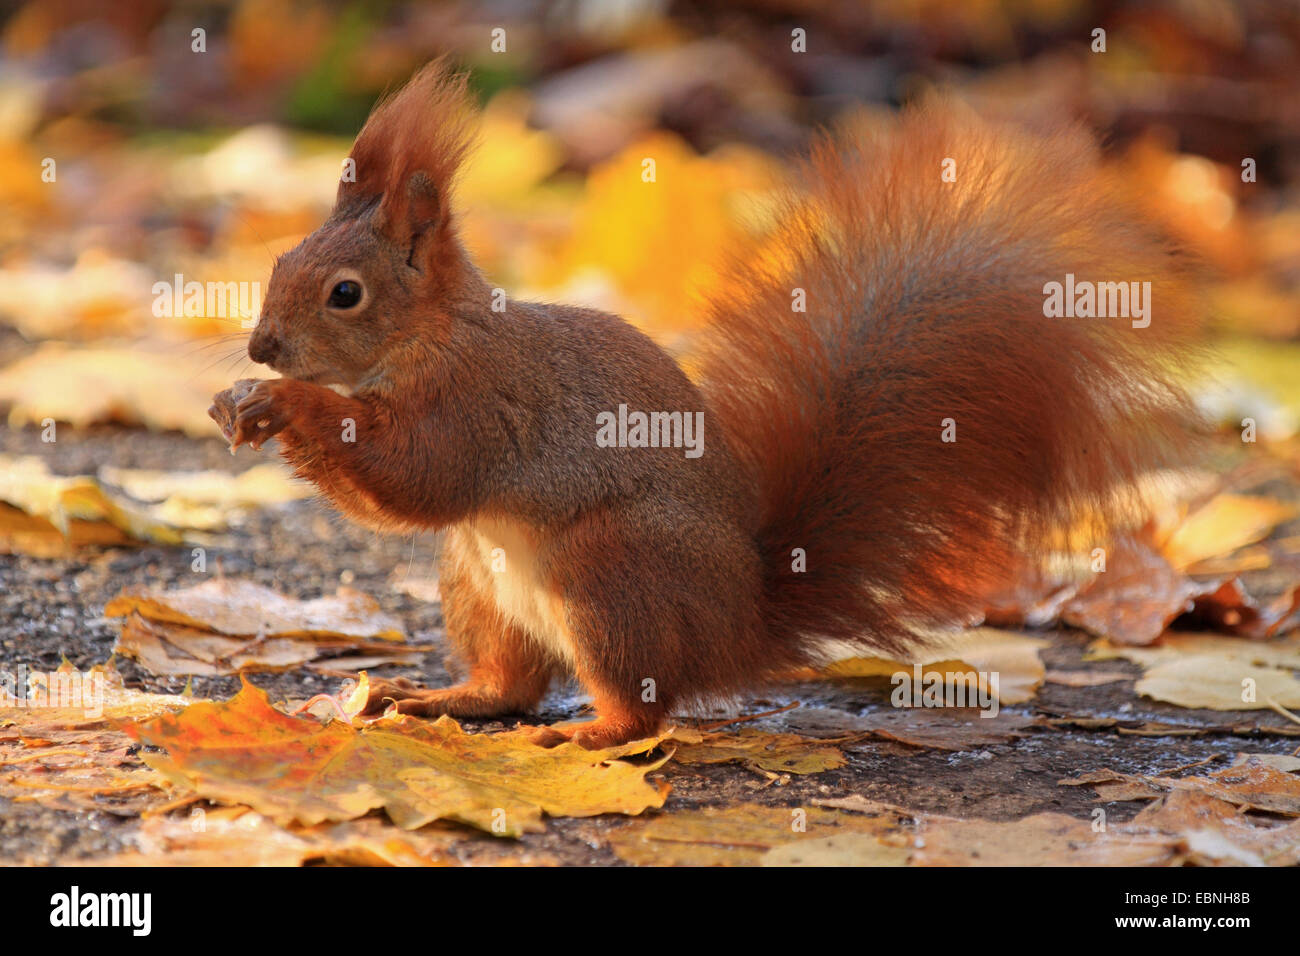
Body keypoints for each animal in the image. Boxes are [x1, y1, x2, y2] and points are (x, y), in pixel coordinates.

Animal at [210, 60, 1199, 749]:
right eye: (280, 262)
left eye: (345, 294)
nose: (262, 348)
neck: (433, 332)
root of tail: (738, 629)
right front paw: (244, 400)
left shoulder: (482, 402)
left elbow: (419, 478)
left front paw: (286, 404)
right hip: (476, 581)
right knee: (510, 683)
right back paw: (431, 696)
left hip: (612, 575)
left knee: (639, 709)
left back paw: (586, 733)